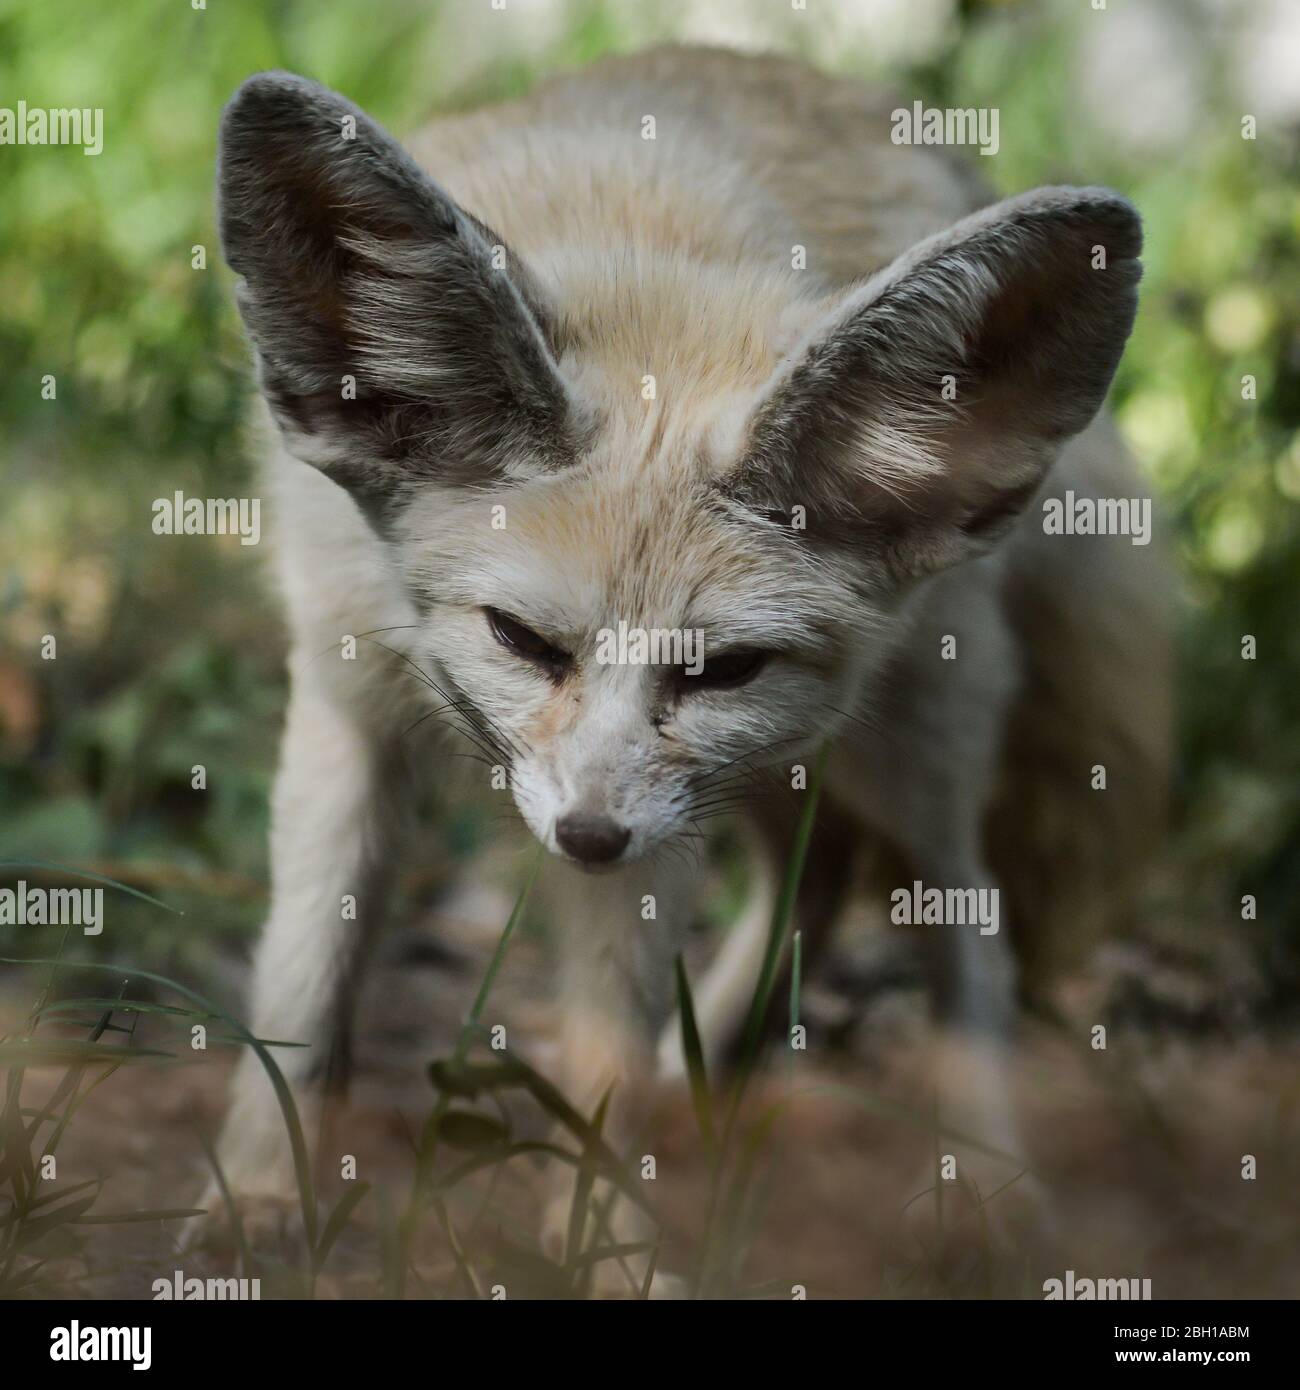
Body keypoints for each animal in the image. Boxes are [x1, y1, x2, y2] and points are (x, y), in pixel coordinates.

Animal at [207, 46, 1171, 1261]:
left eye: (720, 670)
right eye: (521, 640)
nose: (587, 836)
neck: (643, 248)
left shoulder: (656, 822)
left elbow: (607, 1046)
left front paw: (608, 1250)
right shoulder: (345, 696)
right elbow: (302, 973)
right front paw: (259, 1189)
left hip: (908, 751)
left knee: (966, 934)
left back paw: (987, 1185)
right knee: (816, 877)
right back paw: (705, 1076)